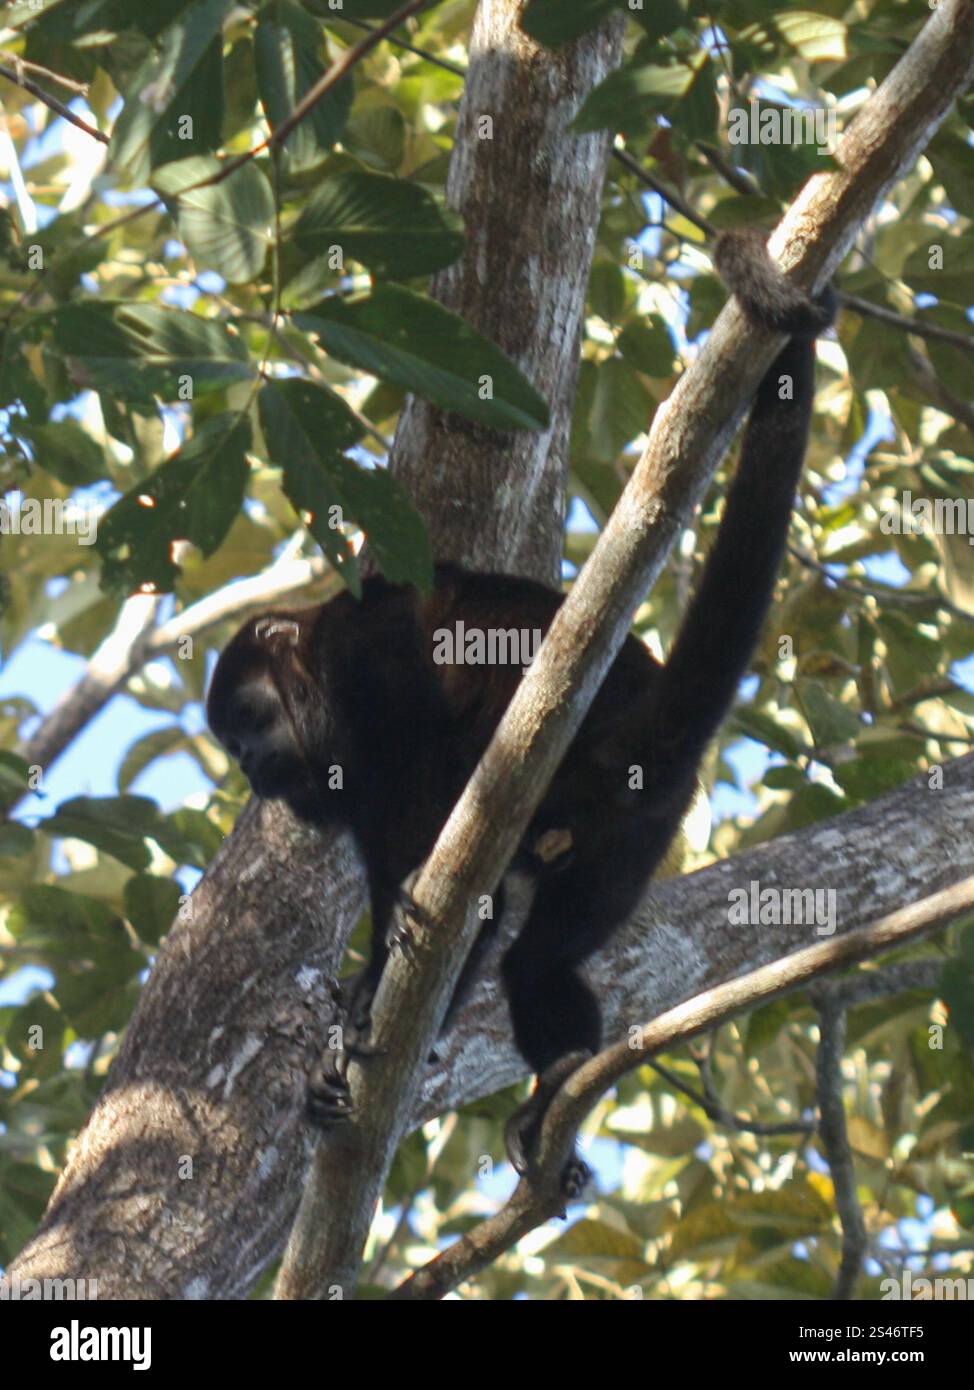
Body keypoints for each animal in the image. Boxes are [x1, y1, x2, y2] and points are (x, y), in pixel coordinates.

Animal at [206, 229, 836, 1194]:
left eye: (245, 717)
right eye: (231, 744)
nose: (245, 763)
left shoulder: (363, 657)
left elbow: (447, 832)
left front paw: (374, 993)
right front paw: (334, 1059)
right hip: (636, 834)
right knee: (541, 963)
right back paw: (560, 1080)